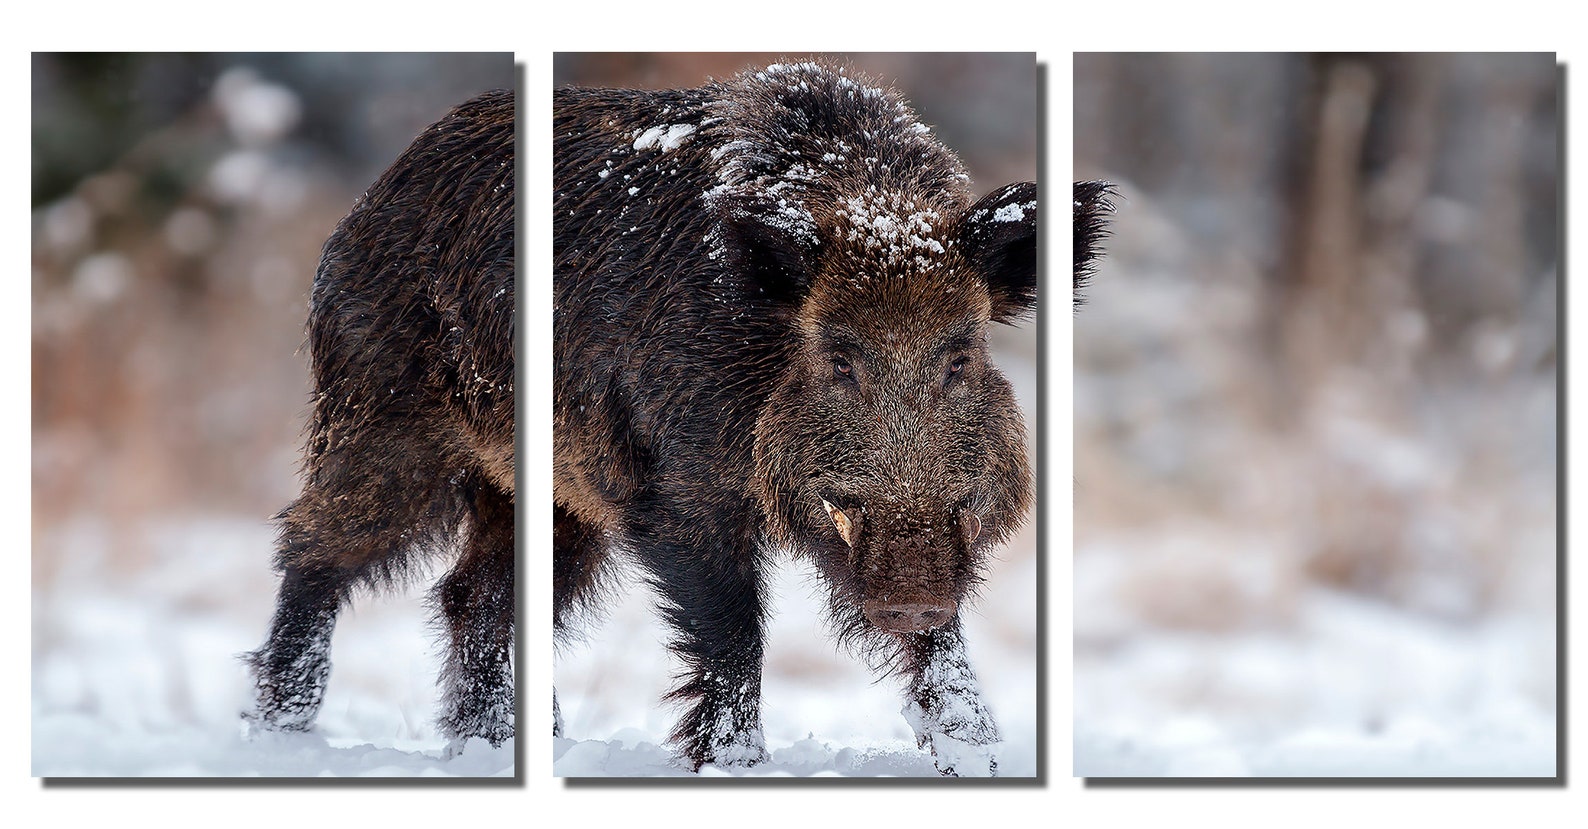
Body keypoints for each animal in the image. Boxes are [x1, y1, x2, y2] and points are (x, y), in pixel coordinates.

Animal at [553, 62, 1036, 776]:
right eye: (837, 359)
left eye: (961, 355)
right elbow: (734, 635)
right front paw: (732, 766)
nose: (910, 594)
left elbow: (945, 651)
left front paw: (975, 761)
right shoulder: (678, 495)